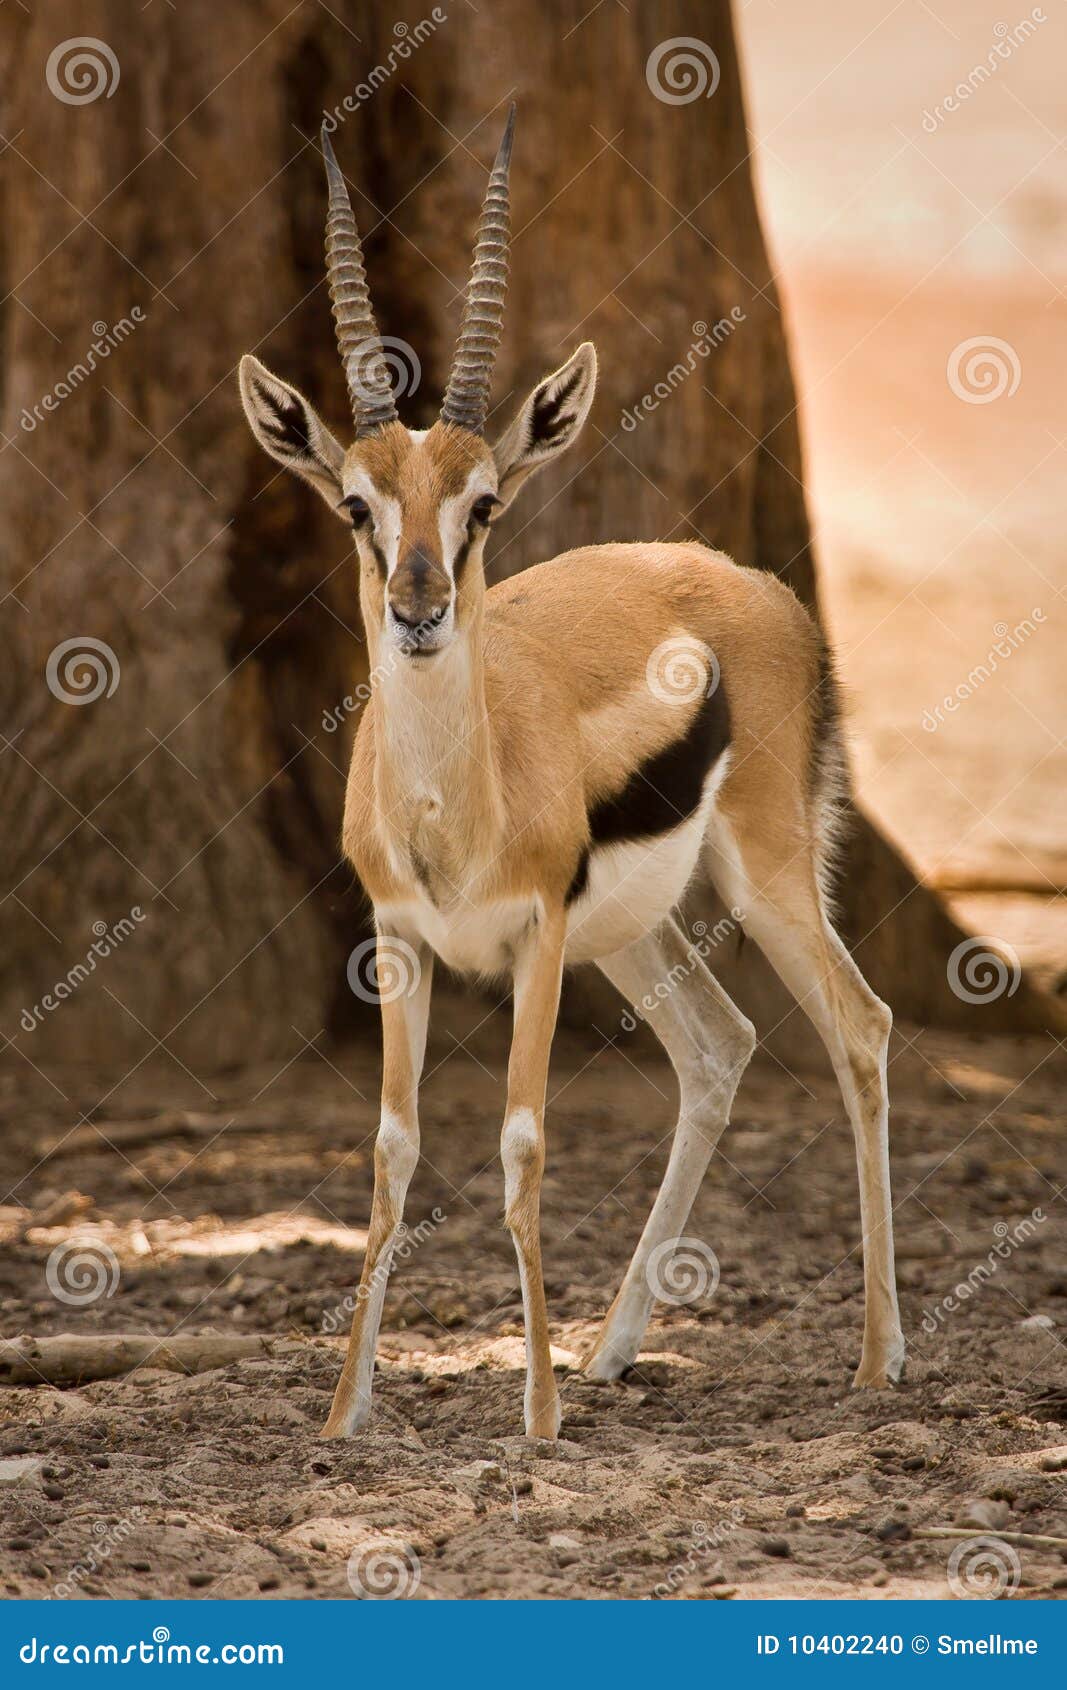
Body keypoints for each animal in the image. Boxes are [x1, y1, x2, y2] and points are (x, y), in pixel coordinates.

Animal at [239, 106, 904, 1441]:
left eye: (484, 504)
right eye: (355, 506)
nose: (418, 612)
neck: (451, 802)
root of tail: (759, 591)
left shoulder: (536, 935)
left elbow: (522, 1140)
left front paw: (536, 1415)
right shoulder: (397, 935)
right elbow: (389, 1151)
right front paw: (344, 1413)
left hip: (758, 881)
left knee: (856, 1027)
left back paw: (874, 1359)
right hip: (638, 934)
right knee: (719, 1047)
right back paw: (613, 1350)